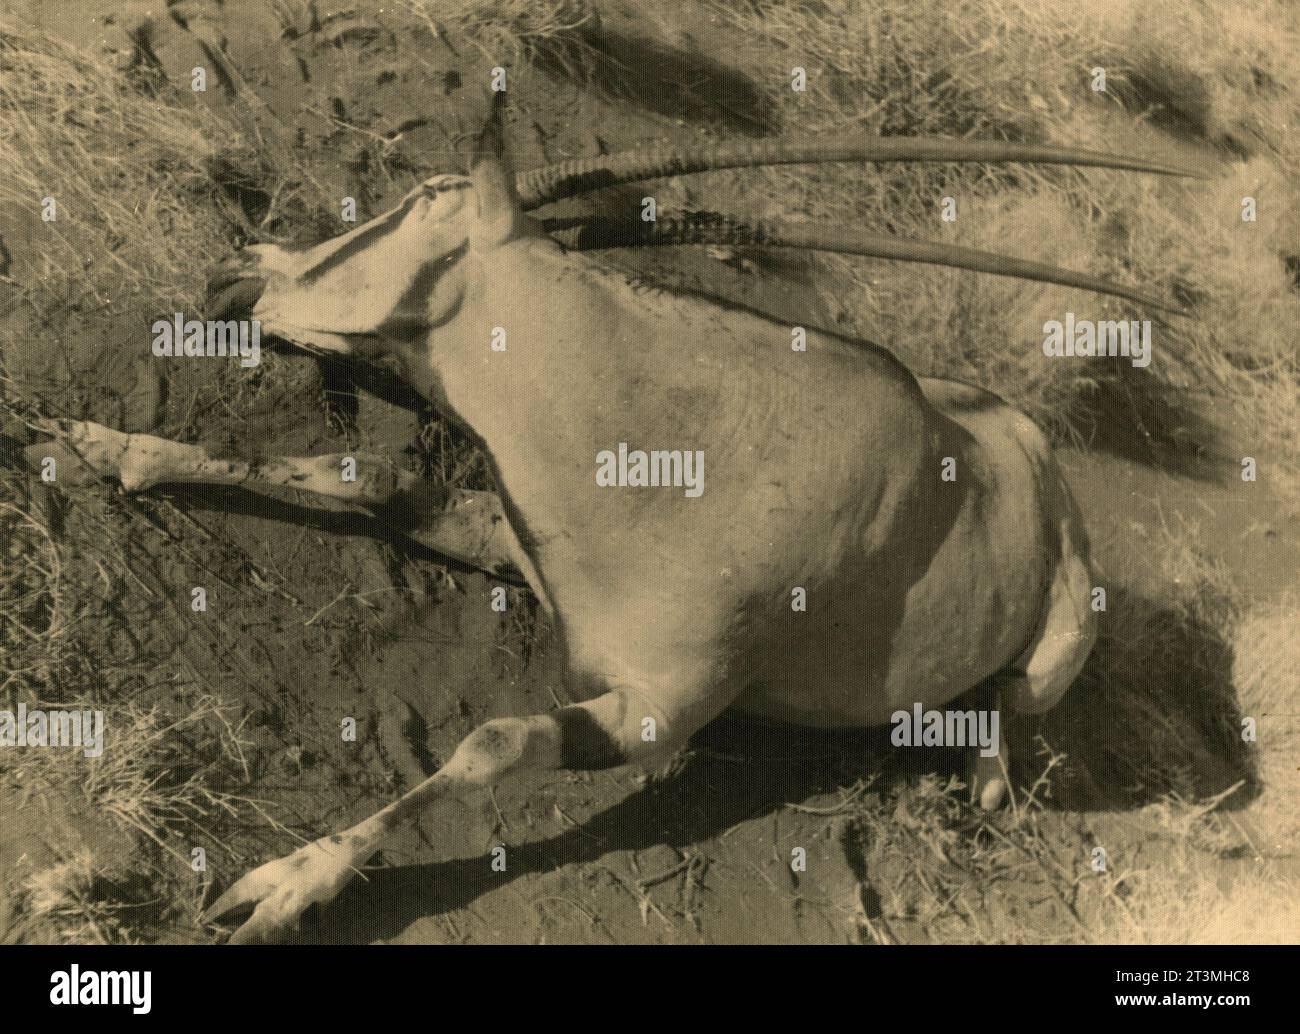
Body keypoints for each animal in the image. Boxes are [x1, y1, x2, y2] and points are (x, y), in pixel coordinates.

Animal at [33, 94, 1193, 942]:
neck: (675, 438)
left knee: (1006, 710)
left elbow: (490, 740)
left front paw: (282, 885)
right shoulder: (516, 538)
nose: (242, 263)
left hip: (1053, 657)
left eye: (416, 197)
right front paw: (108, 445)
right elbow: (373, 482)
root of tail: (1035, 453)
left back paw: (979, 779)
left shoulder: (657, 714)